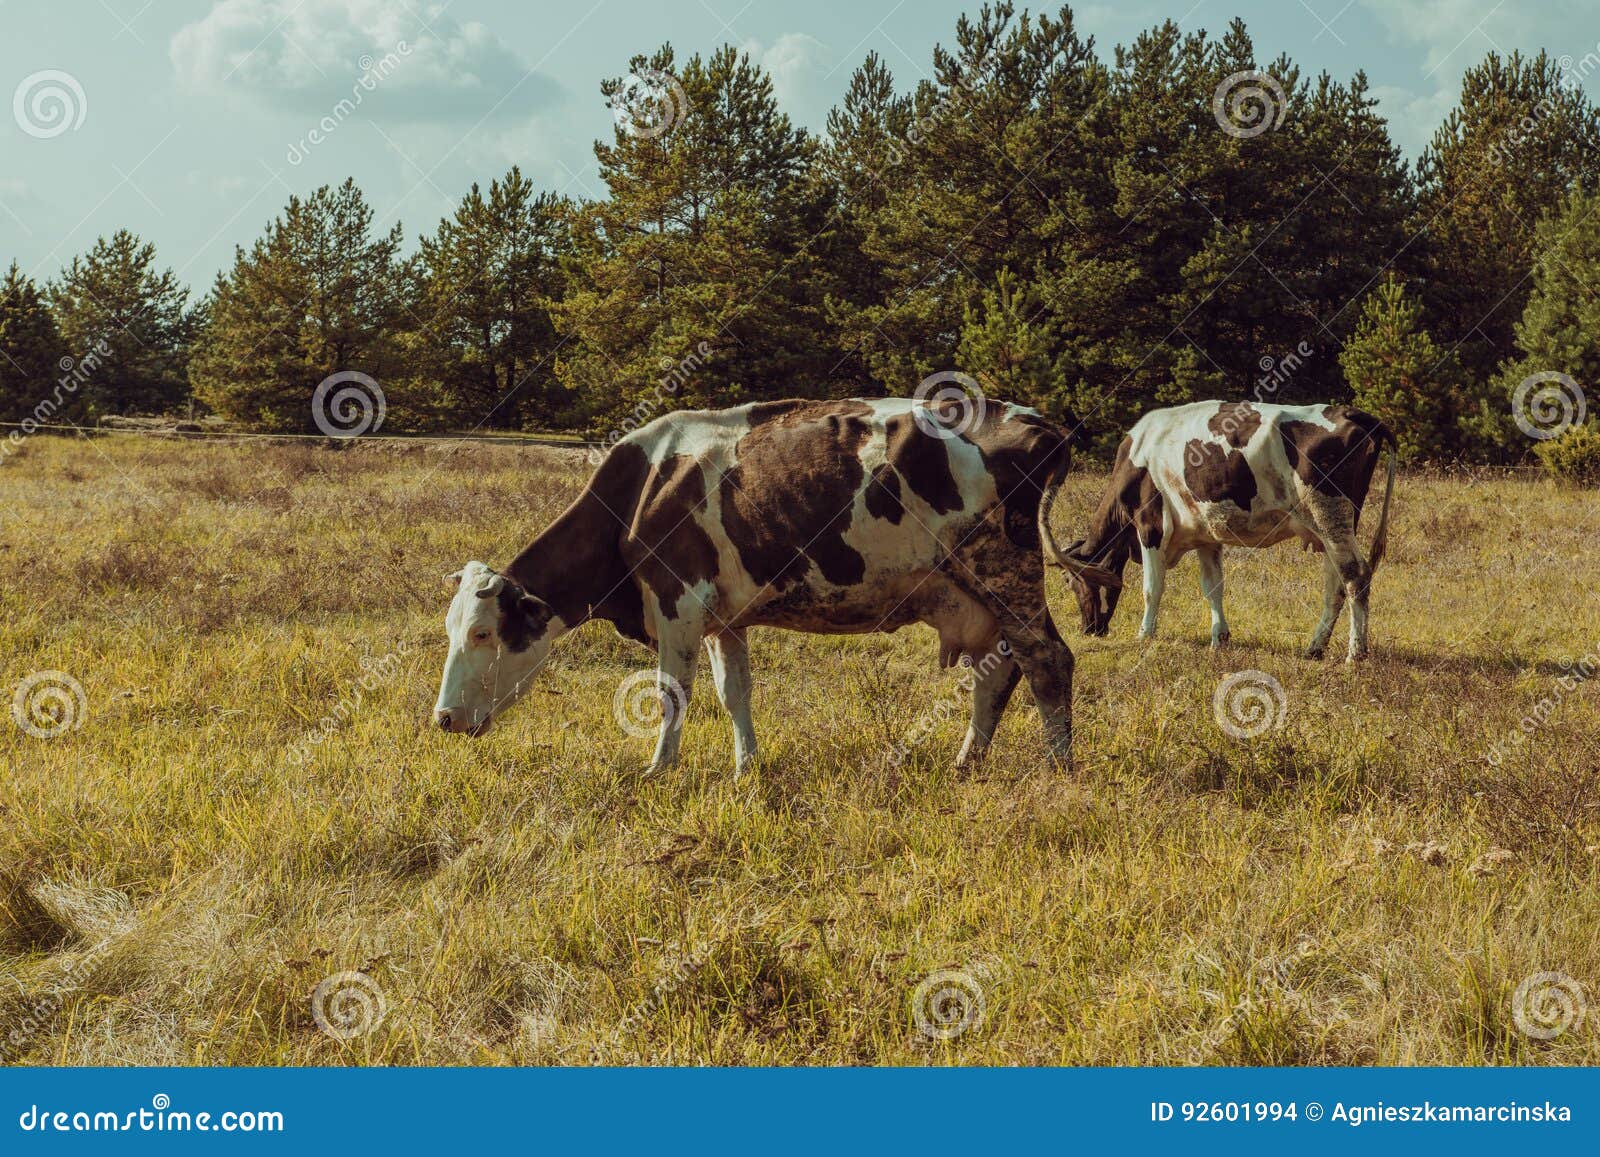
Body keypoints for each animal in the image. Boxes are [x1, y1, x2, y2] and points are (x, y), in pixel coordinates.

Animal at [432, 397, 1121, 774]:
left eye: (484, 632)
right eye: (451, 629)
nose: (442, 719)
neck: (642, 491)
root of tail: (1033, 421)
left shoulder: (678, 602)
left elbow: (672, 694)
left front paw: (659, 768)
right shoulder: (723, 618)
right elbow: (733, 692)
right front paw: (746, 769)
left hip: (1005, 571)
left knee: (1047, 660)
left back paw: (1059, 766)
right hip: (974, 595)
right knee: (995, 674)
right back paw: (966, 762)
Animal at [1055, 401, 1397, 661]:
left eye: (1075, 583)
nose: (1090, 630)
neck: (1138, 454)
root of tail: (1350, 412)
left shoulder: (1151, 525)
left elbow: (1152, 588)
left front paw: (1145, 634)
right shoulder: (1207, 535)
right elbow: (1213, 587)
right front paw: (1219, 637)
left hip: (1330, 516)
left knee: (1356, 576)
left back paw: (1355, 654)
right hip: (1332, 528)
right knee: (1335, 585)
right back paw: (1314, 649)